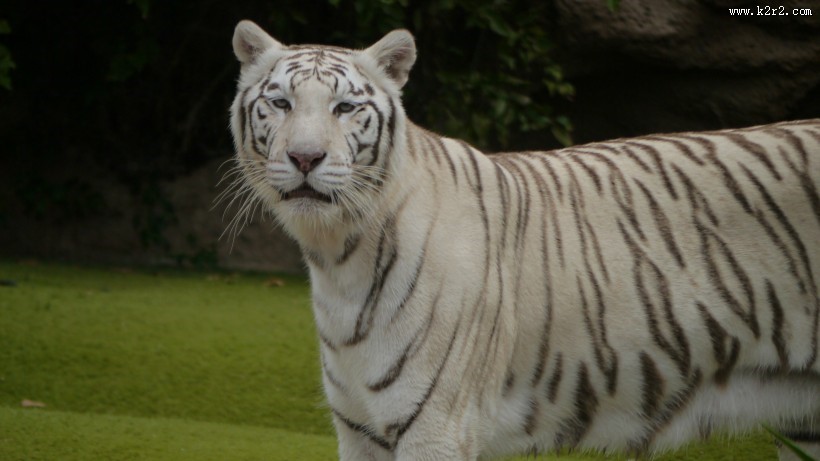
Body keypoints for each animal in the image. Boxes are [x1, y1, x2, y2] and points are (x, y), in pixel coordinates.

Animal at [226, 20, 820, 461]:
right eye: (280, 103)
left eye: (345, 108)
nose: (305, 158)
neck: (337, 256)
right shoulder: (360, 431)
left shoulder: (436, 426)